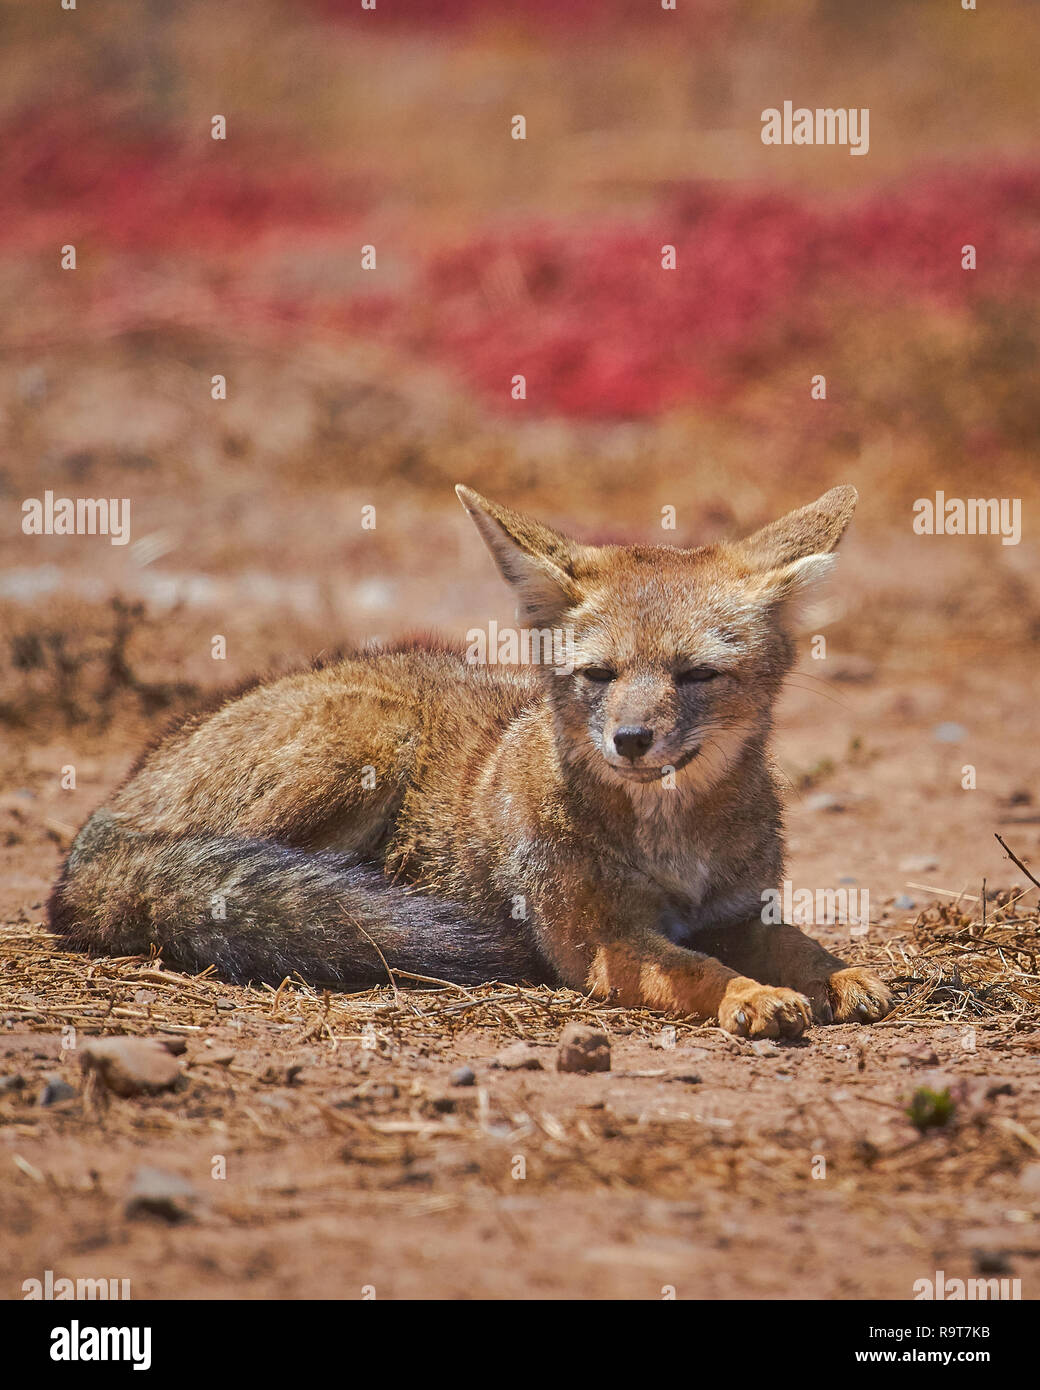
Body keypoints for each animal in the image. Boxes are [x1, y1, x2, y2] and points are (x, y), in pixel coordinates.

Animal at [49, 484, 892, 1039]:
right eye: (600, 676)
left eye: (695, 676)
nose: (630, 740)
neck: (673, 838)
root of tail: (109, 814)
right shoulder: (601, 940)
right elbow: (697, 970)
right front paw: (749, 995)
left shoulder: (740, 914)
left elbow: (801, 944)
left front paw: (843, 975)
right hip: (370, 734)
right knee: (232, 879)